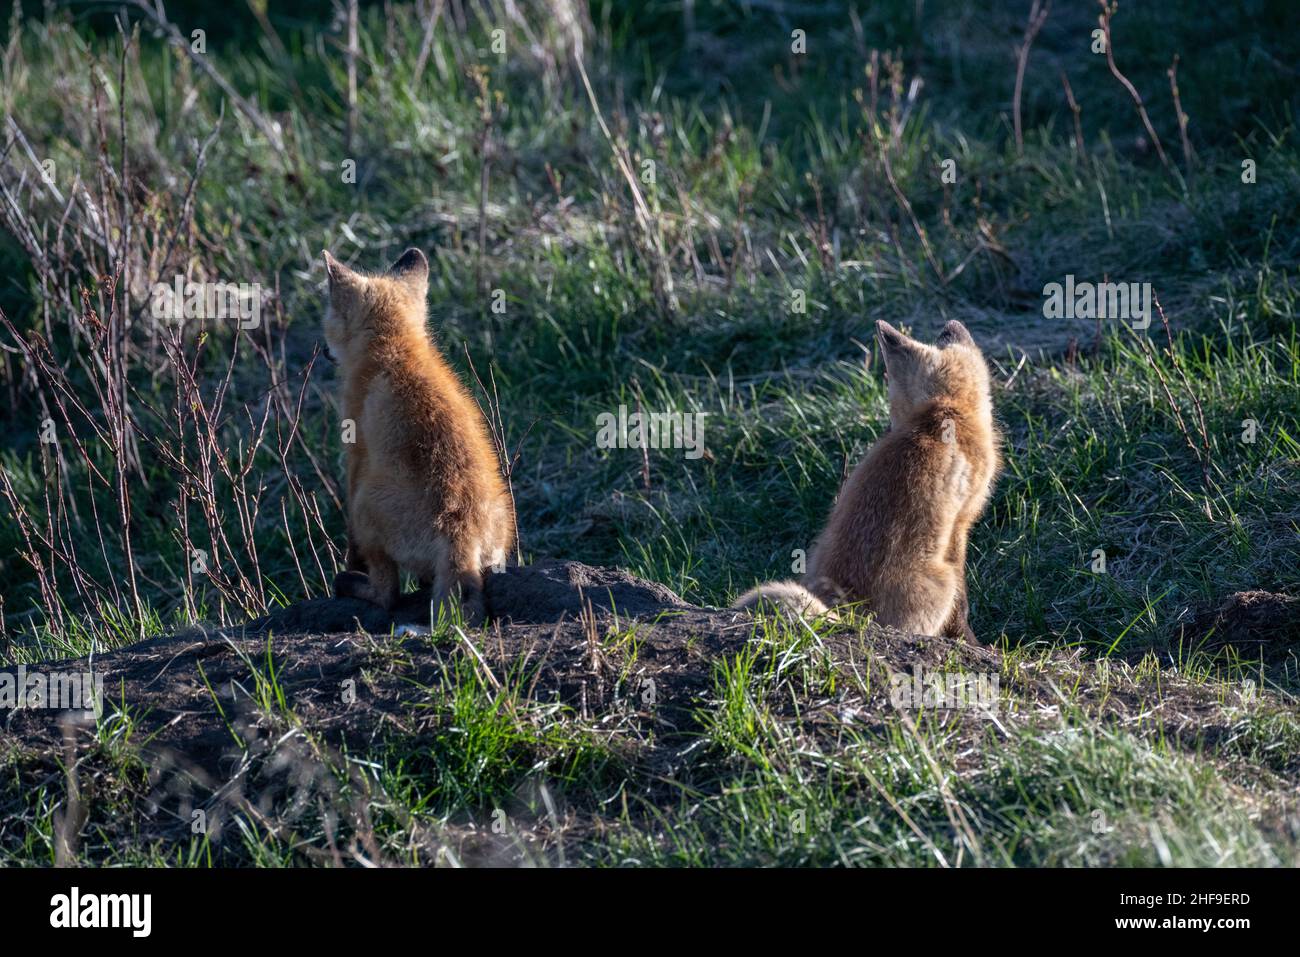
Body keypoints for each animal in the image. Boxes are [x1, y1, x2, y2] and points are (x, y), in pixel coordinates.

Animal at [321, 247, 514, 624]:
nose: (322, 351)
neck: (396, 347)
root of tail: (460, 528)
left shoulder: (355, 457)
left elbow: (351, 538)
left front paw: (351, 565)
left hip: (367, 503)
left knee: (388, 595)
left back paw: (350, 584)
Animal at [735, 319, 1001, 640]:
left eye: (892, 405)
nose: (887, 427)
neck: (944, 411)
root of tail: (852, 613)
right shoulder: (960, 526)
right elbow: (962, 604)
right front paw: (969, 641)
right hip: (942, 580)